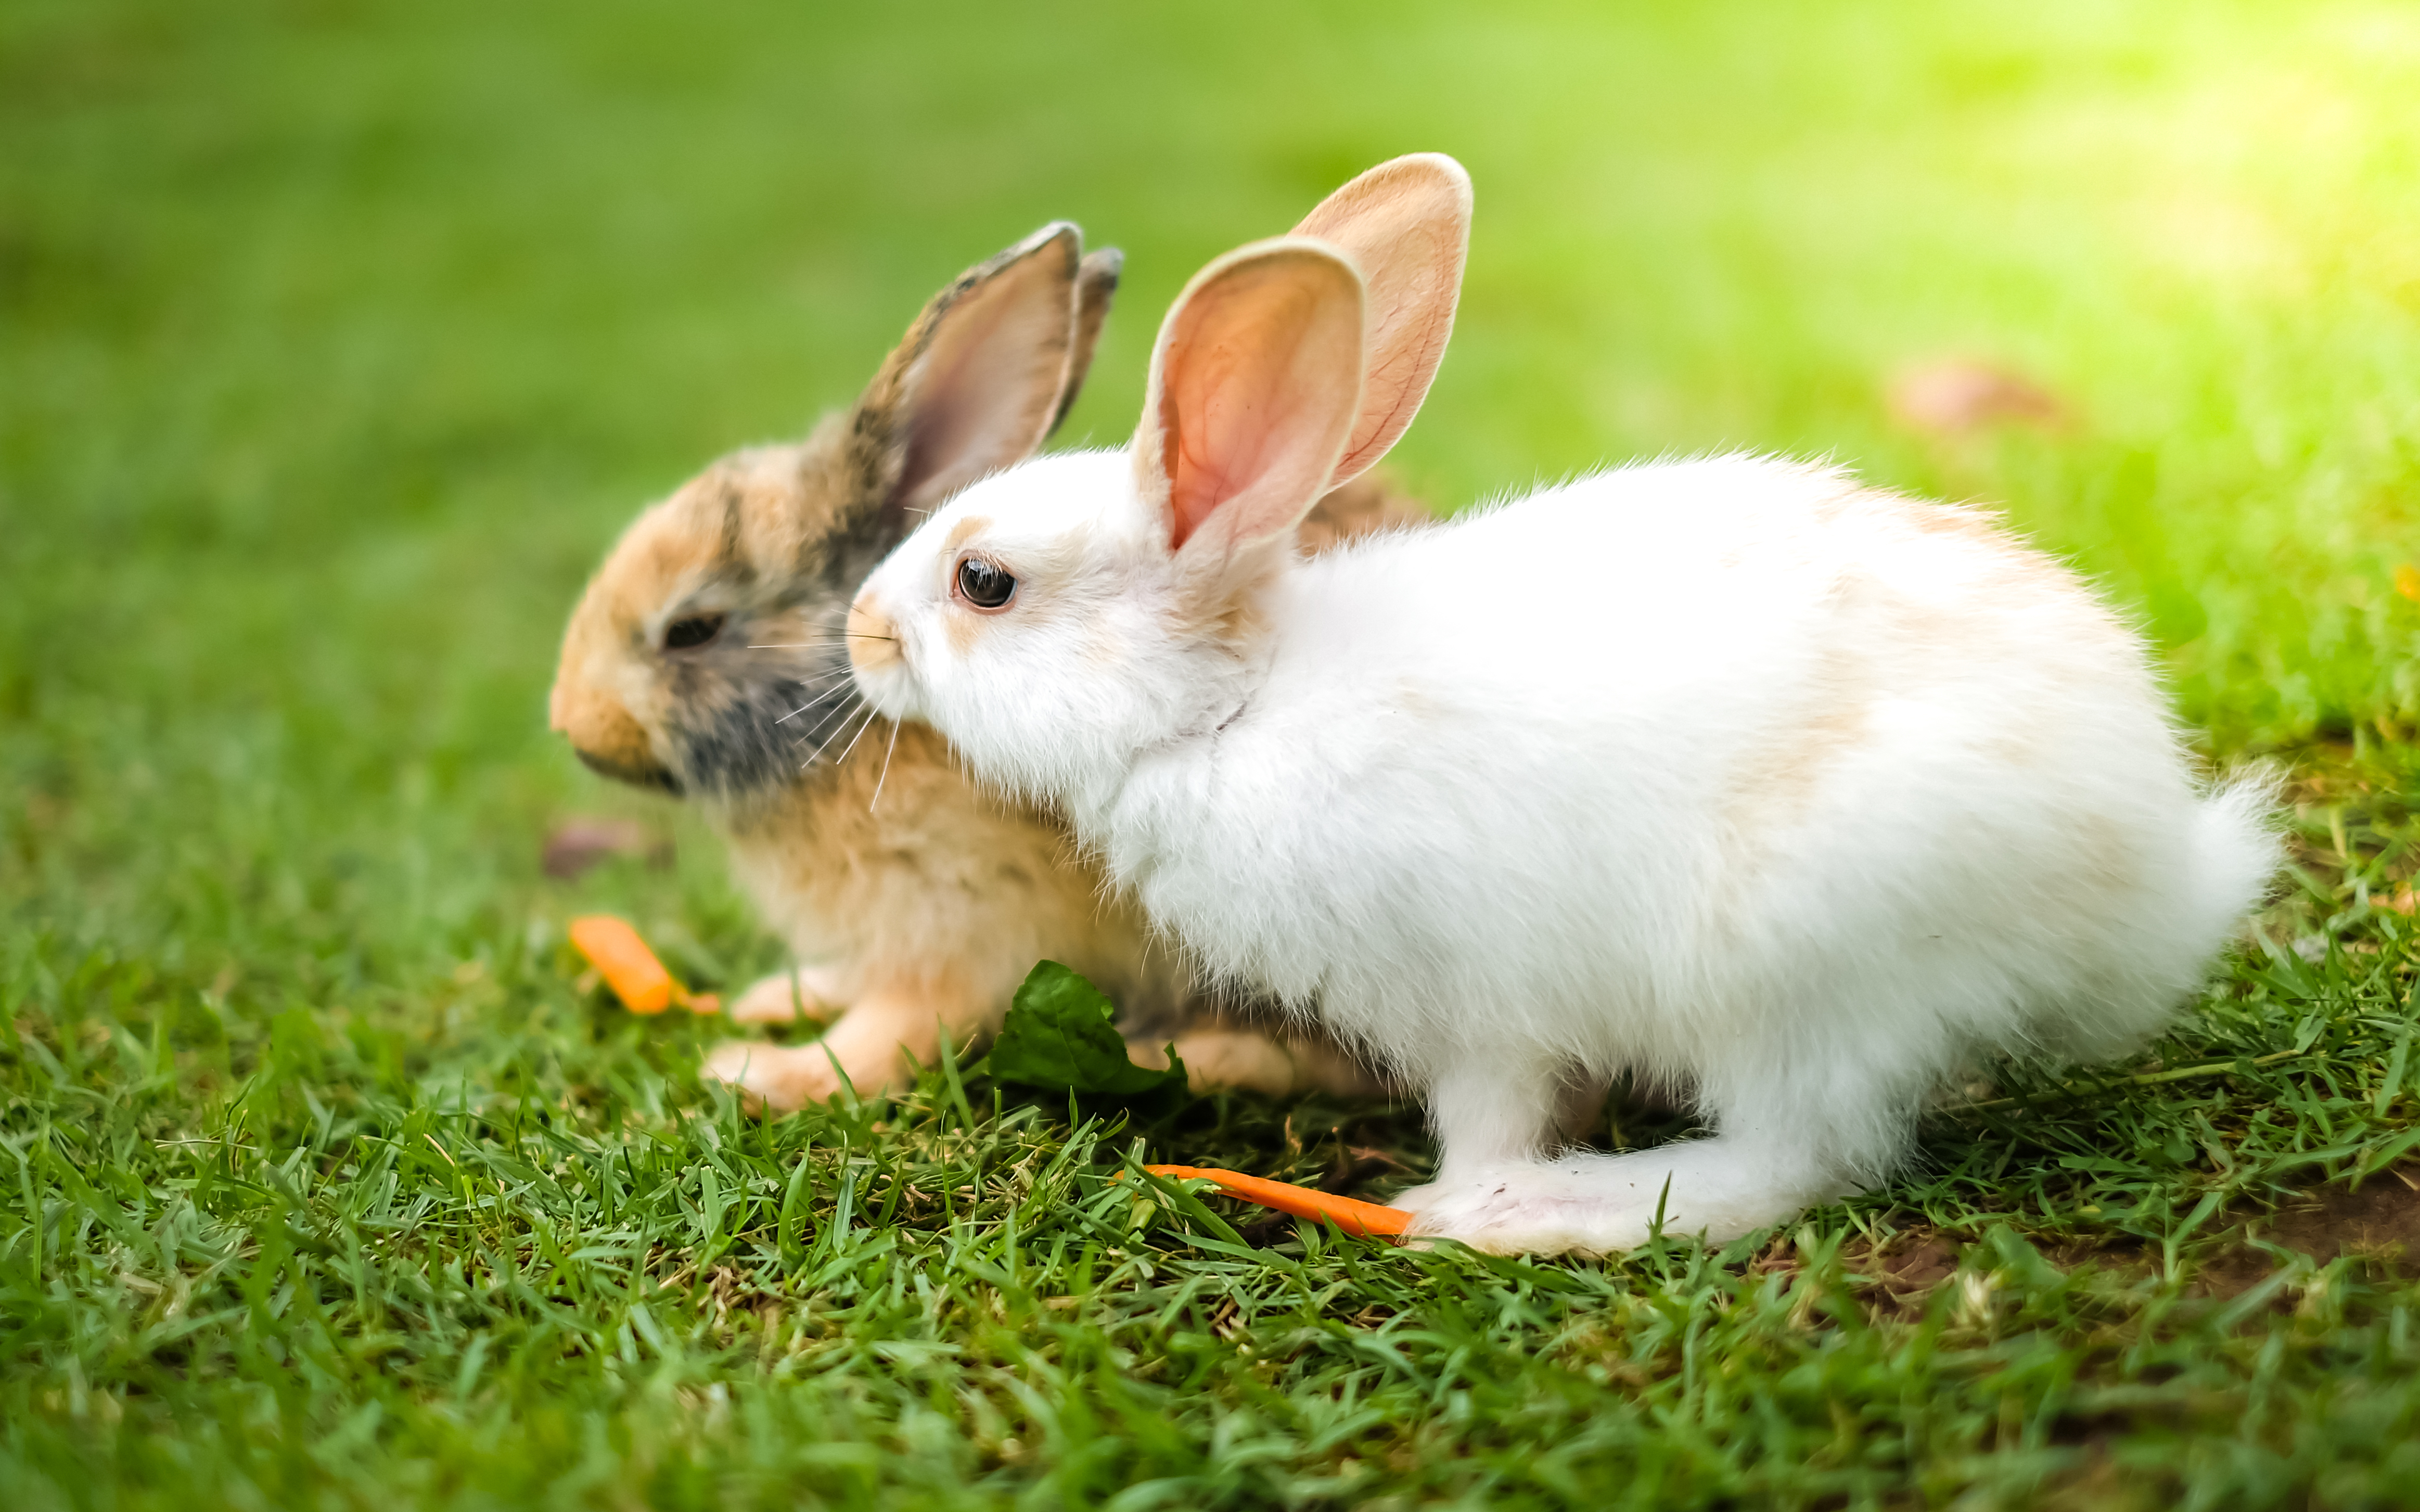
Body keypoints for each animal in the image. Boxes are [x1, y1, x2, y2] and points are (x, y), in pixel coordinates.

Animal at [549, 208, 1427, 1112]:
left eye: (692, 629)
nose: (571, 726)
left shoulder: (960, 930)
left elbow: (888, 1032)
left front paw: (760, 1072)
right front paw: (777, 1000)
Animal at [841, 152, 2282, 1254]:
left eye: (982, 582)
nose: (858, 630)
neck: (1229, 706)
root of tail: (2156, 890)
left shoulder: (1473, 1008)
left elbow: (1490, 1109)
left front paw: (1457, 1191)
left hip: (1798, 971)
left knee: (1798, 1159)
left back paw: (1546, 1213)